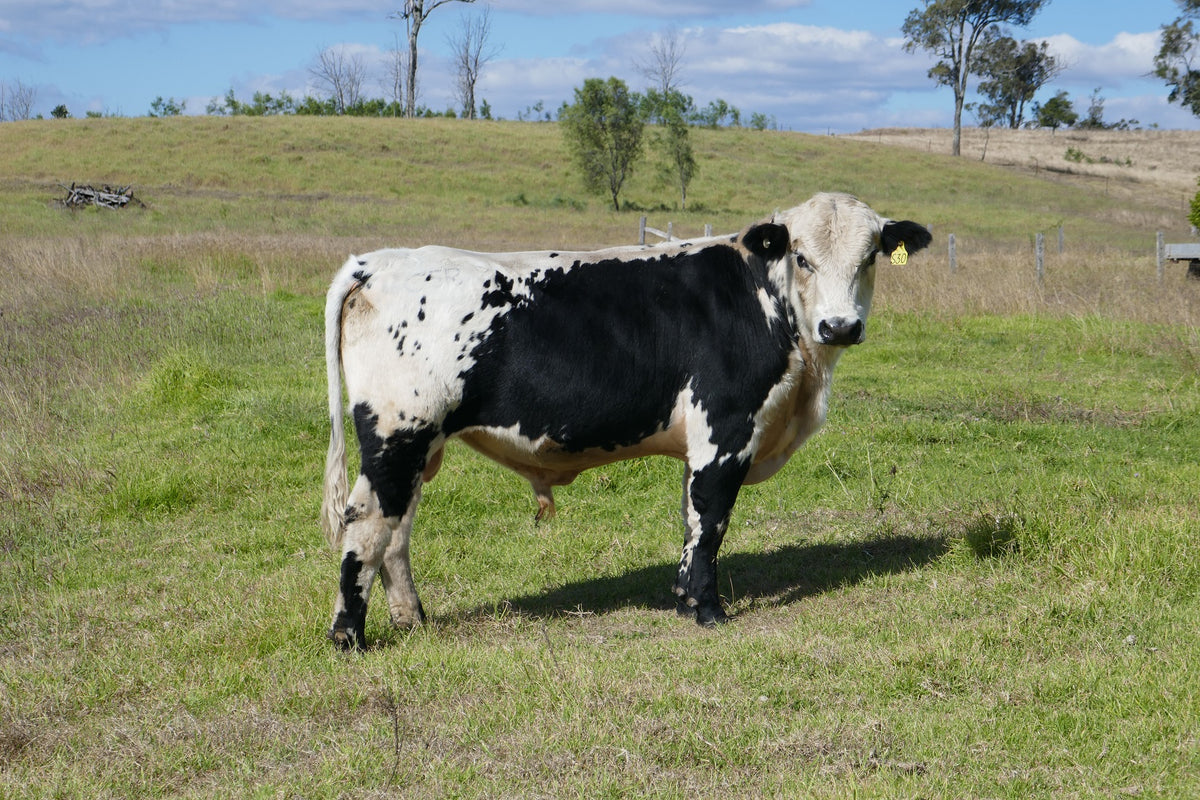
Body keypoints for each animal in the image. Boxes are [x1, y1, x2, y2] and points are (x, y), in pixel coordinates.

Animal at [320, 192, 931, 650]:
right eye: (802, 257)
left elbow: (690, 516)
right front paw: (709, 611)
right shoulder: (726, 430)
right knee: (366, 522)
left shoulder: (703, 440)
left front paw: (684, 601)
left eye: (871, 257)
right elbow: (711, 519)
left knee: (396, 529)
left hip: (417, 445)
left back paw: (412, 620)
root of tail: (378, 262)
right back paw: (349, 637)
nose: (840, 326)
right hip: (399, 432)